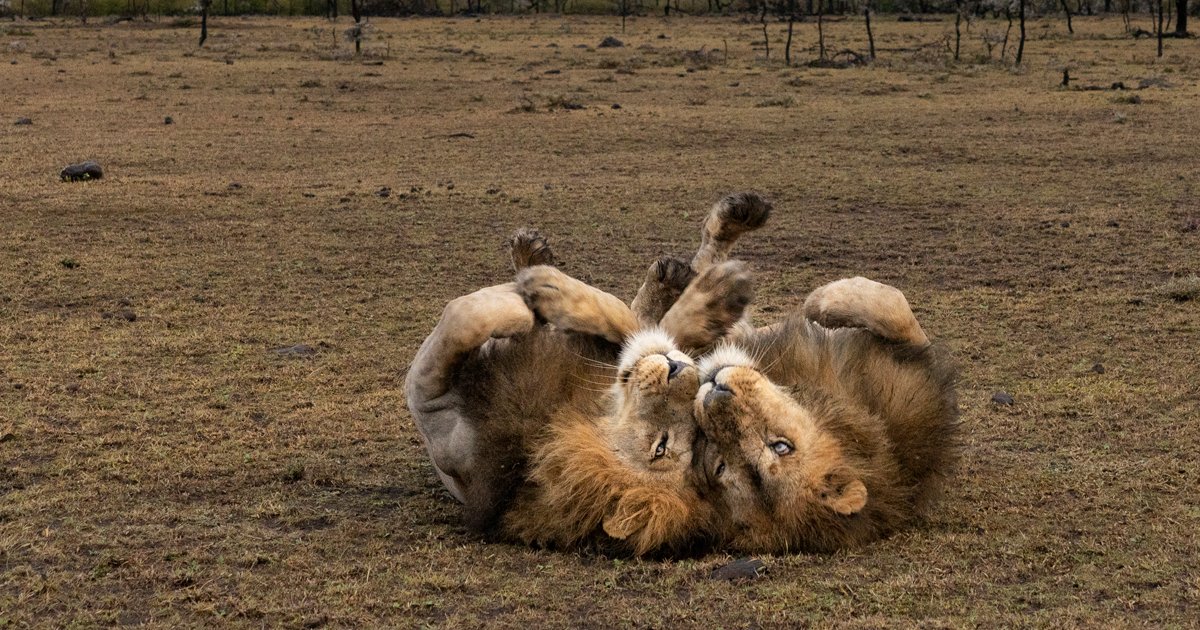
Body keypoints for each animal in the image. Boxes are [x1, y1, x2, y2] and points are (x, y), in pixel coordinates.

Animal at [691, 276, 959, 554]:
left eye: (780, 446)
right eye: (721, 465)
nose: (714, 396)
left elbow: (894, 308)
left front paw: (819, 302)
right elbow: (896, 309)